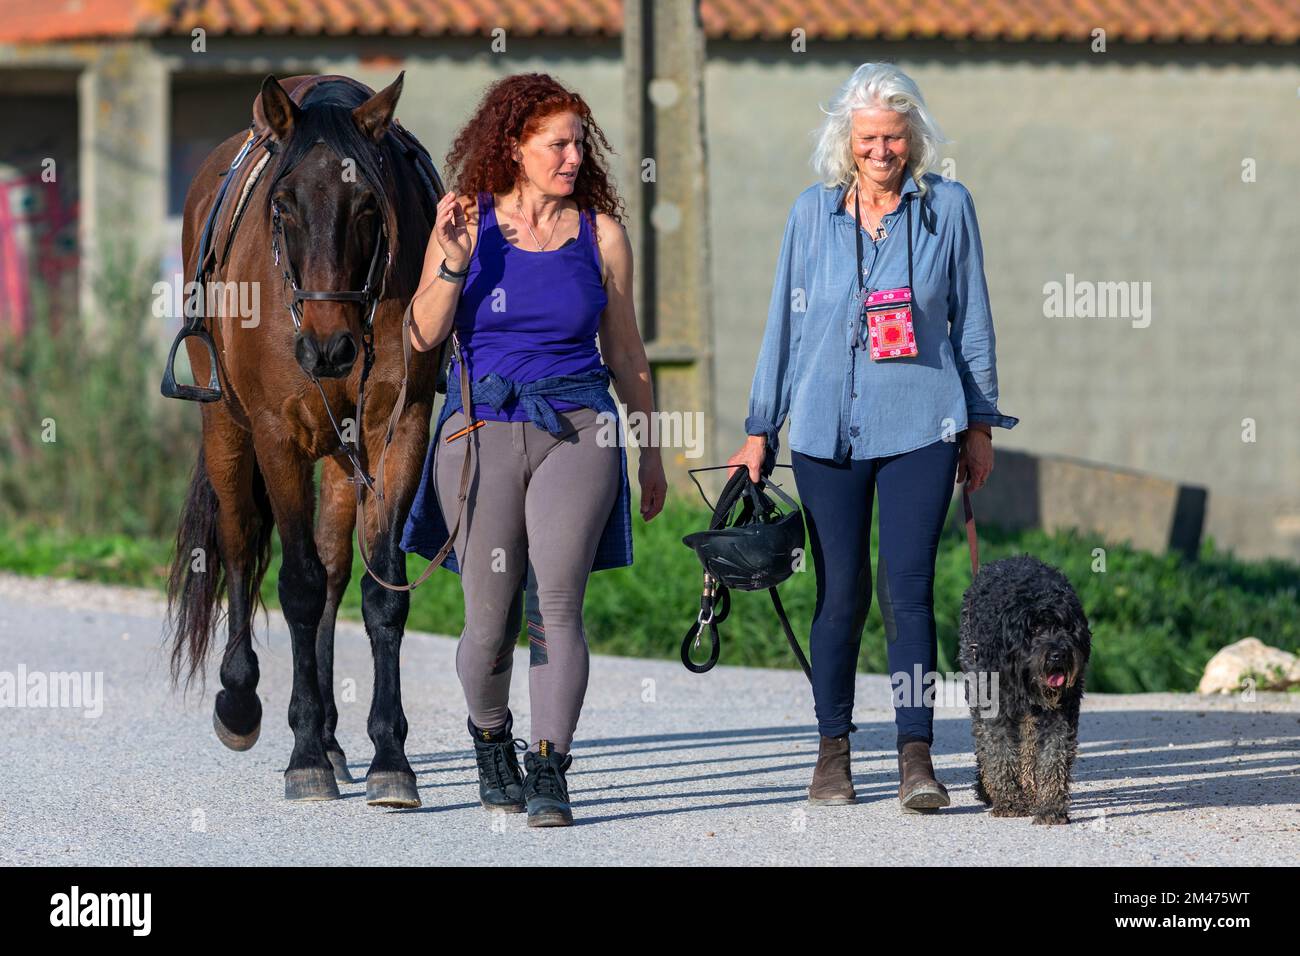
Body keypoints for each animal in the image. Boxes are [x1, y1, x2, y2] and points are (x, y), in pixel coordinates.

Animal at [165, 73, 441, 806]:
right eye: (283, 205)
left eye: (369, 205)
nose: (328, 347)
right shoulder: (275, 434)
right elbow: (296, 584)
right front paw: (304, 755)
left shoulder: (397, 427)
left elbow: (378, 590)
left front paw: (388, 757)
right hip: (225, 429)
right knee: (239, 545)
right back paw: (247, 705)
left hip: (344, 455)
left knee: (336, 568)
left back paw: (337, 741)